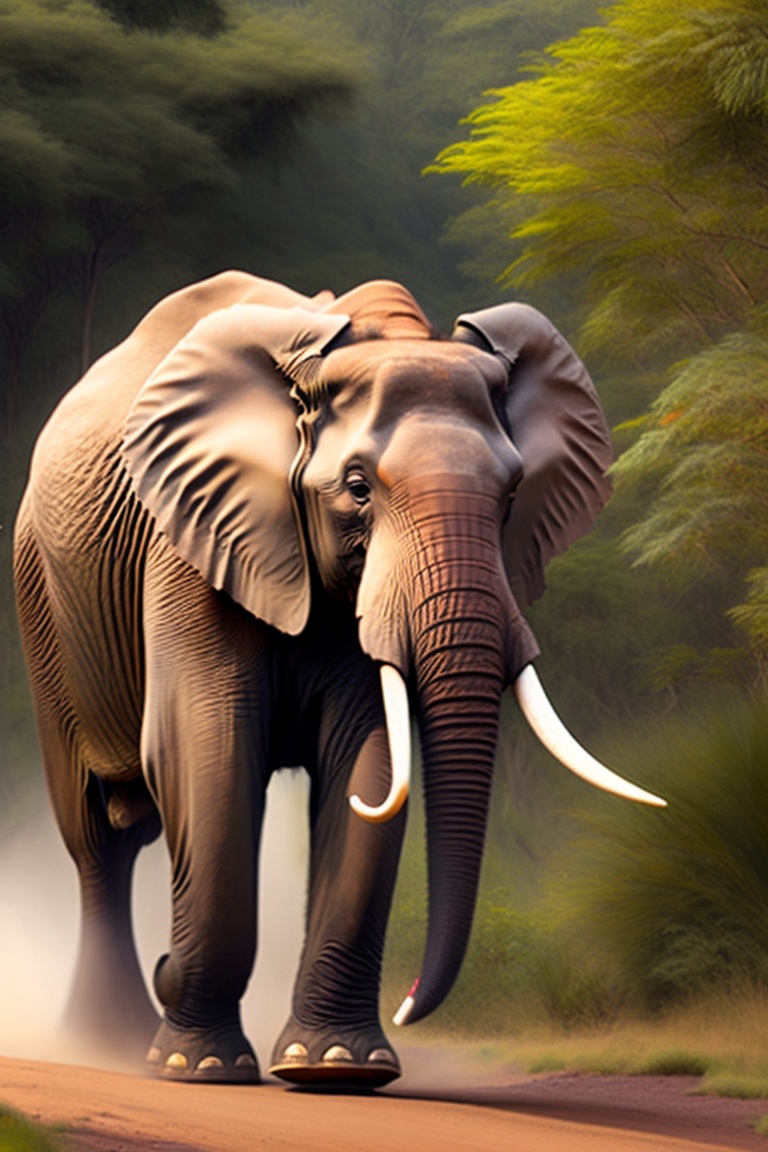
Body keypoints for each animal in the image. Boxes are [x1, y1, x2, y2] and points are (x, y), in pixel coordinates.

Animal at [13, 270, 664, 1088]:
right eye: (356, 489)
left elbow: (369, 756)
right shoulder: (191, 539)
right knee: (97, 832)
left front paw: (332, 1069)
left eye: (513, 494)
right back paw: (108, 1042)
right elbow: (205, 745)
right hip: (41, 596)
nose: (410, 1002)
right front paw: (202, 1068)